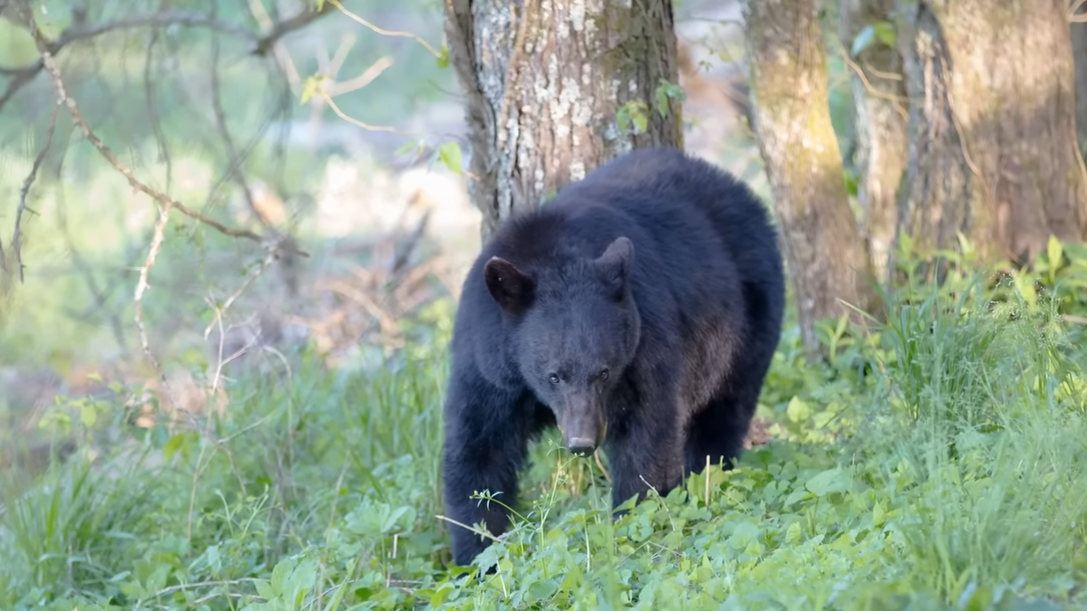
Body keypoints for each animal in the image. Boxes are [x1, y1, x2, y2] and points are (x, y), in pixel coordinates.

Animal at [440, 146, 785, 567]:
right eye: (554, 375)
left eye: (603, 373)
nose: (582, 442)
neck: (550, 253)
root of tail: (734, 185)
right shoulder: (488, 364)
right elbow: (478, 448)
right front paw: (477, 555)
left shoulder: (645, 341)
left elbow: (647, 433)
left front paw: (629, 528)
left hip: (748, 317)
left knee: (724, 411)